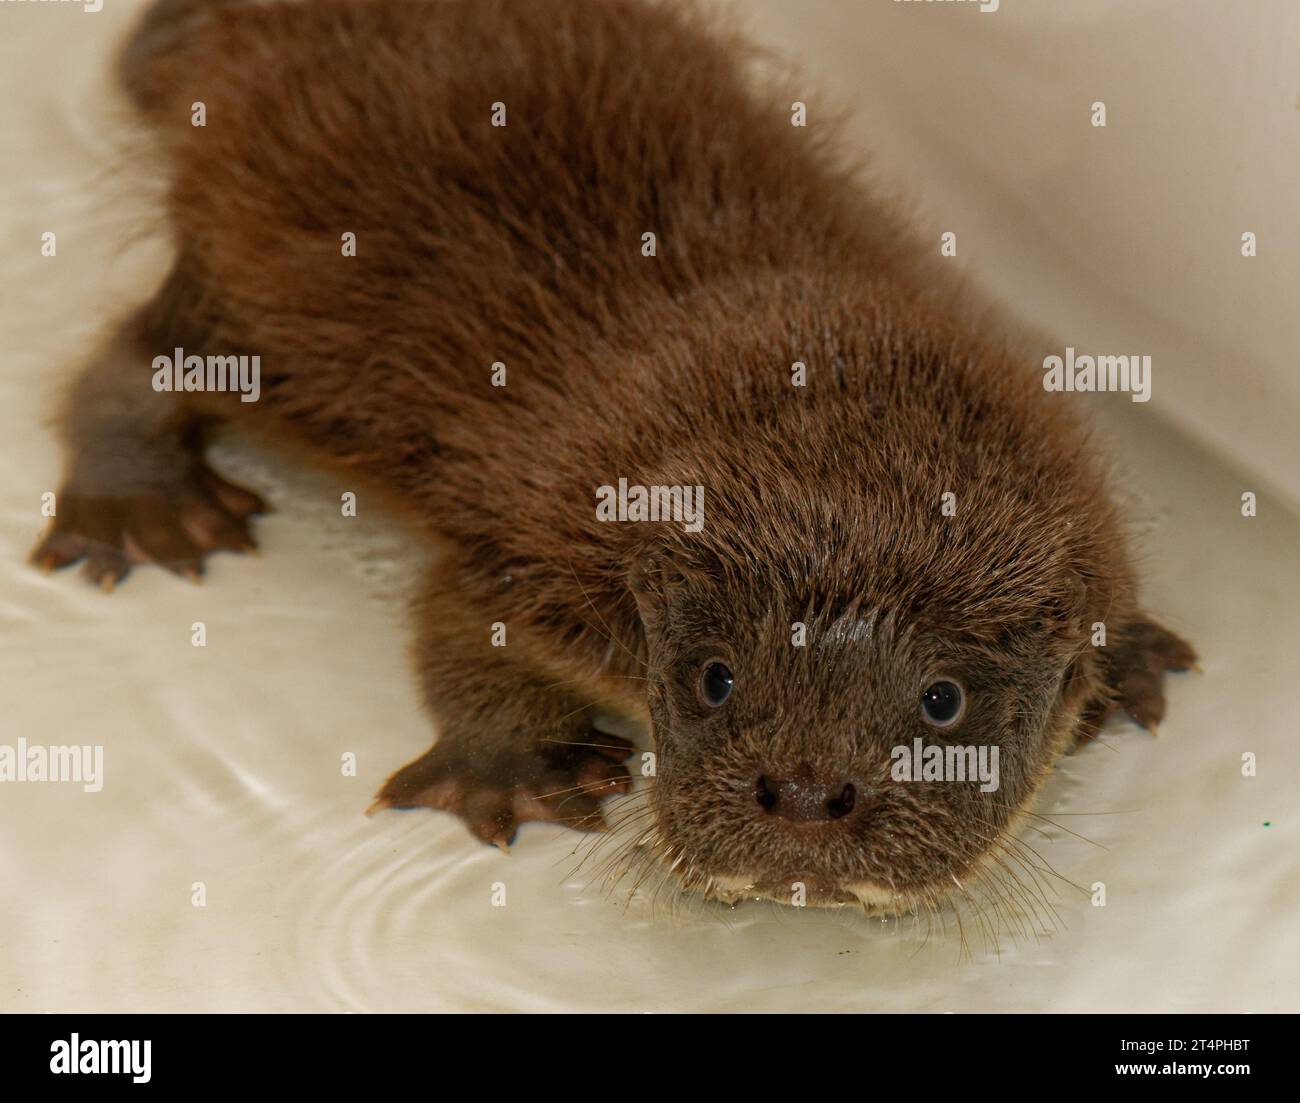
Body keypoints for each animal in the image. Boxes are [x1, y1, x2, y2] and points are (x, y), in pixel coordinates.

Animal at [33, 0, 1195, 913]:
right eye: (714, 678)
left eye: (943, 699)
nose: (807, 796)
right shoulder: (537, 545)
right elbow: (453, 623)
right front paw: (515, 769)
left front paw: (1129, 652)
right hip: (251, 318)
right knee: (137, 358)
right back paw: (146, 507)